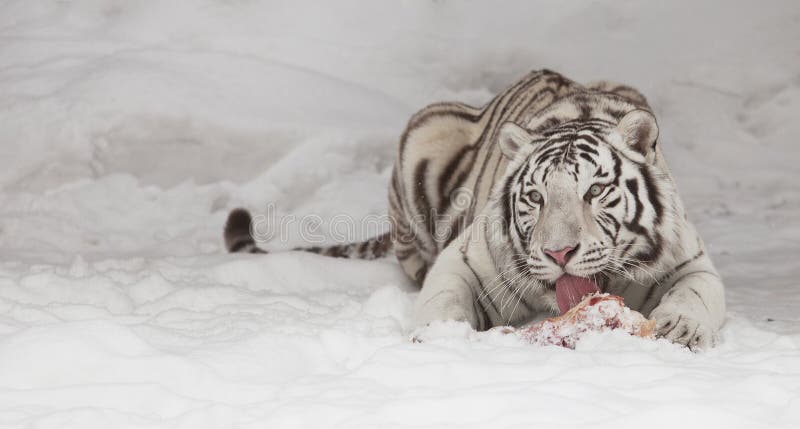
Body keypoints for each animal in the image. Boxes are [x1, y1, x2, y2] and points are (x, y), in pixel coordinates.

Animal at [224, 69, 726, 350]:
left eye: (595, 191)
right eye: (536, 198)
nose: (559, 253)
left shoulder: (691, 263)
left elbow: (694, 294)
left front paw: (680, 330)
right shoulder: (465, 259)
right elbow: (444, 298)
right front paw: (435, 337)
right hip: (424, 131)